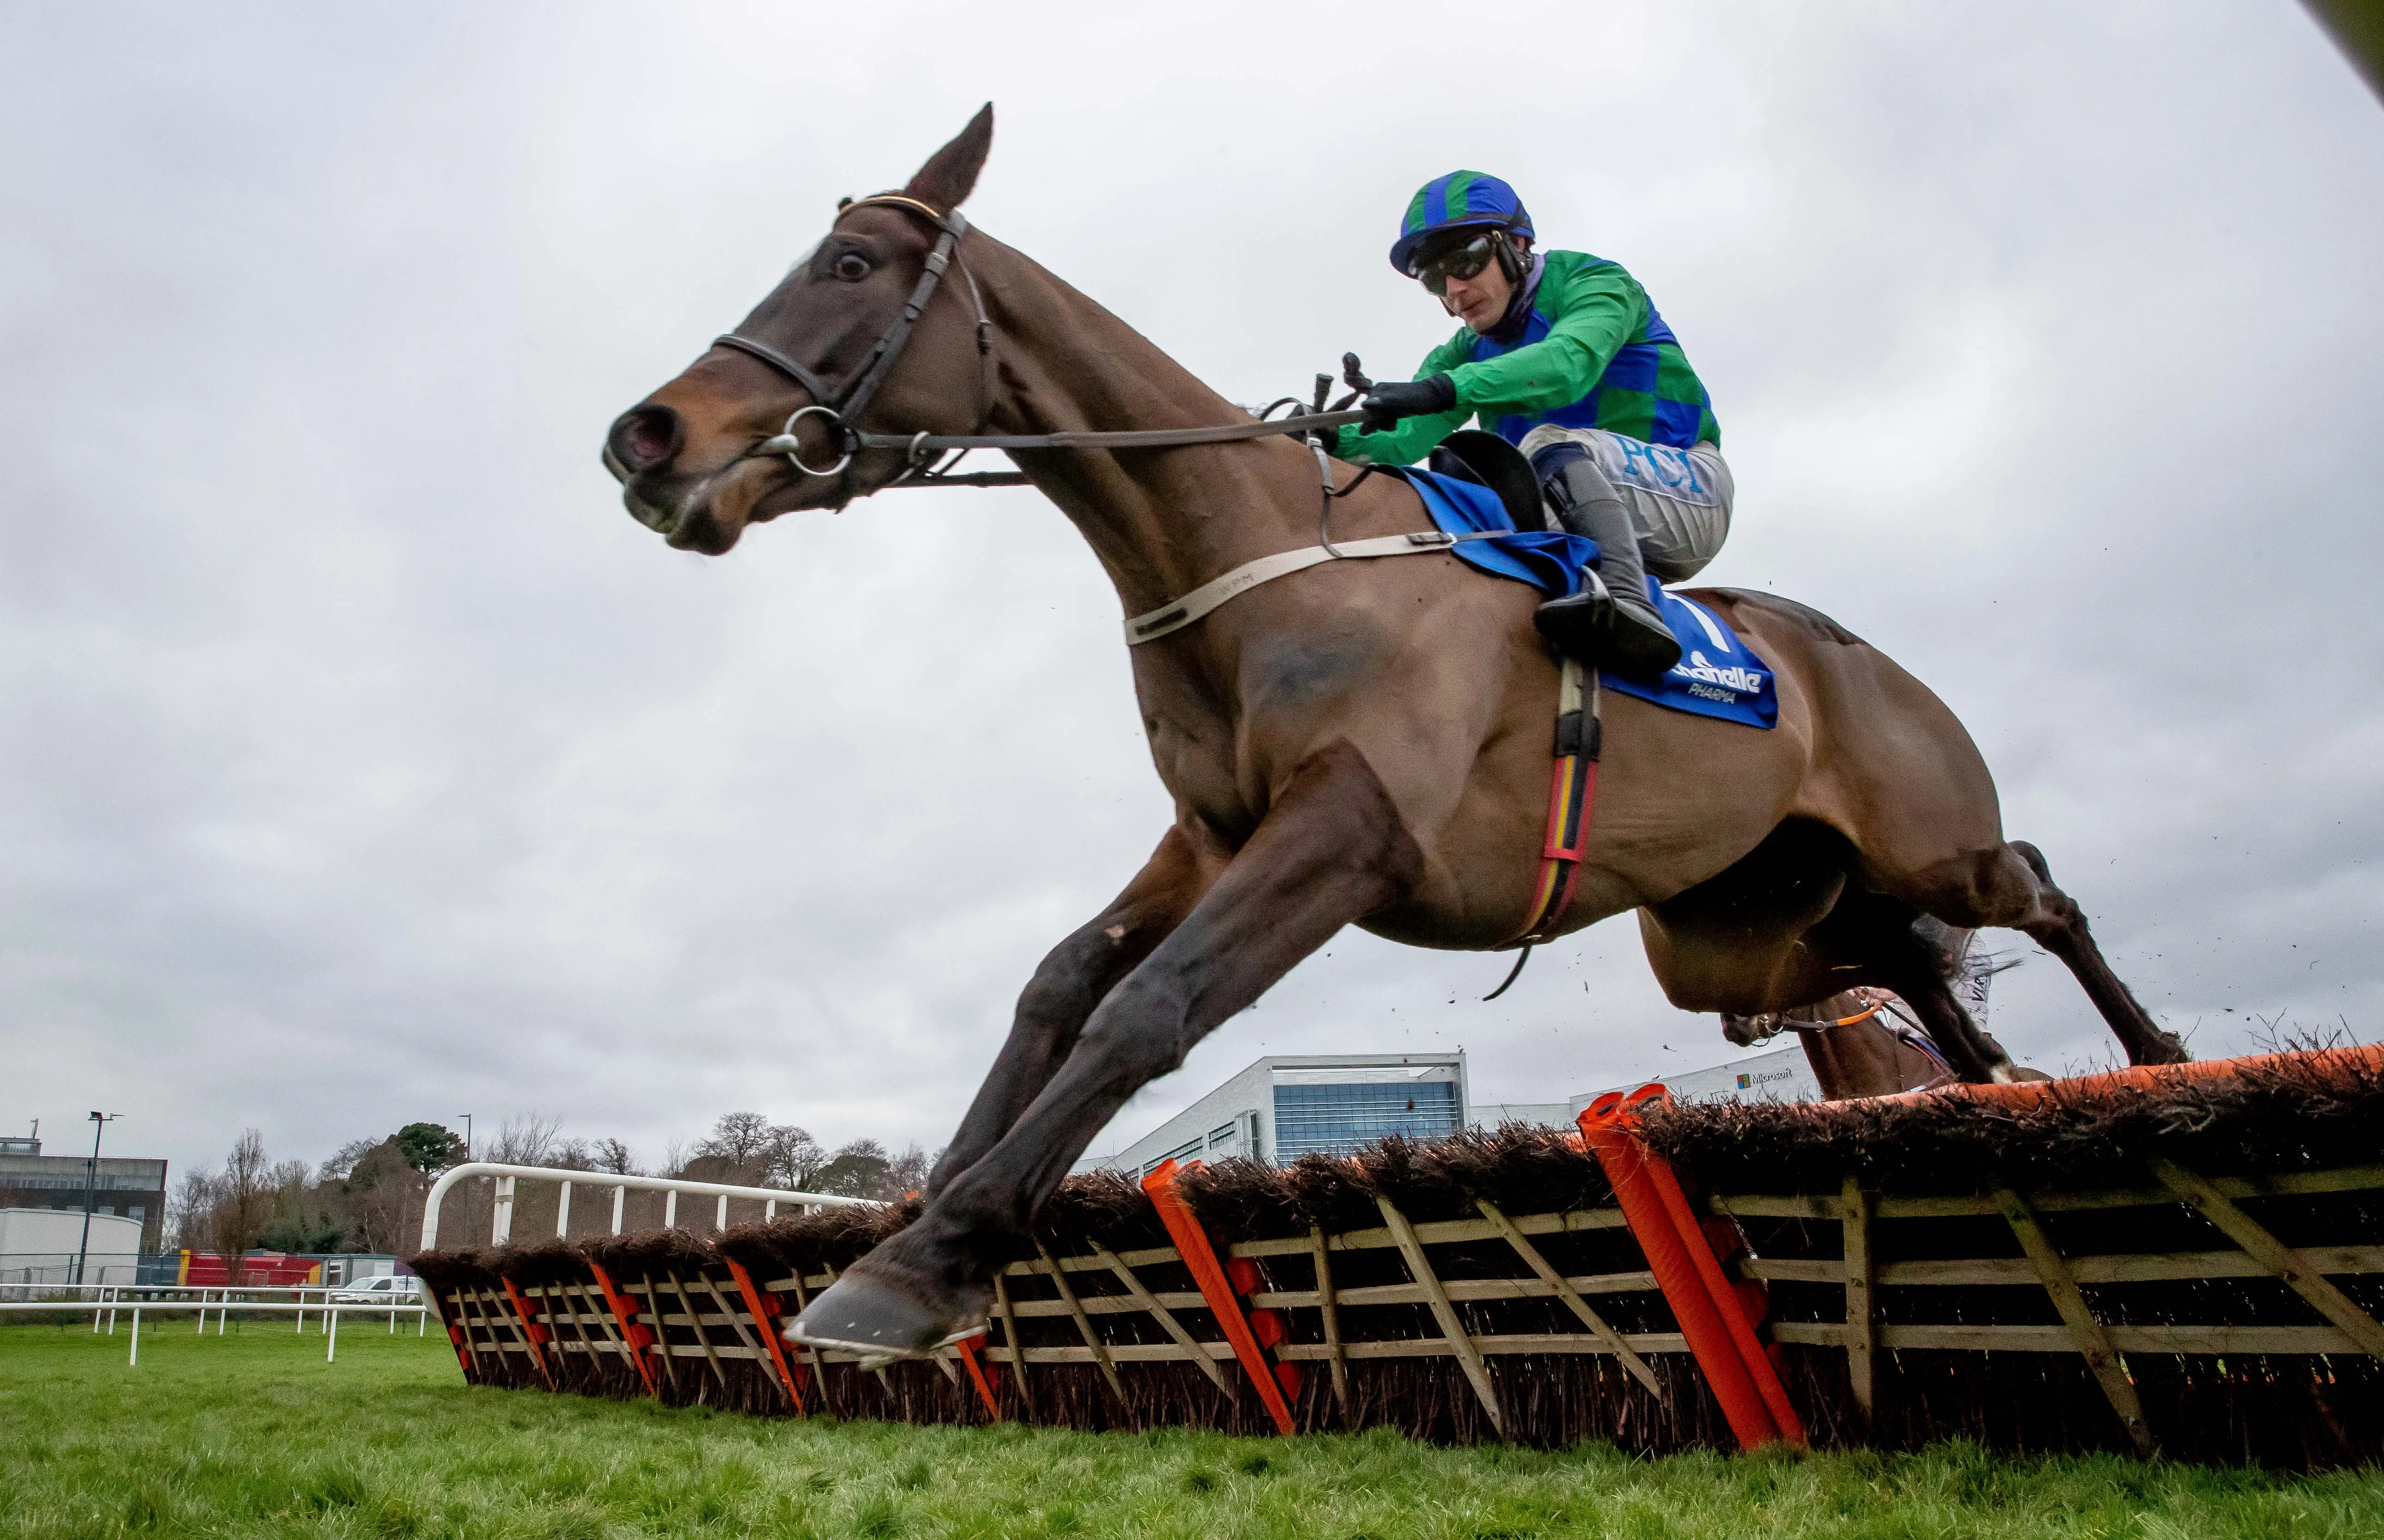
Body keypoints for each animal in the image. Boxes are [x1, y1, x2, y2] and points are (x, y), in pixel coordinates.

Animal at [602, 106, 2187, 1359]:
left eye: (850, 266)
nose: (646, 436)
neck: (1247, 552)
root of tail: (1858, 656)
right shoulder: (1213, 832)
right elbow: (1058, 983)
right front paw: (924, 1223)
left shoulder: (1350, 830)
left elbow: (1147, 1005)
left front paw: (928, 1260)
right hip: (1734, 931)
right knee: (1902, 966)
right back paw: (1997, 1081)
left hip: (1923, 845)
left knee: (2036, 890)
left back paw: (2148, 1054)